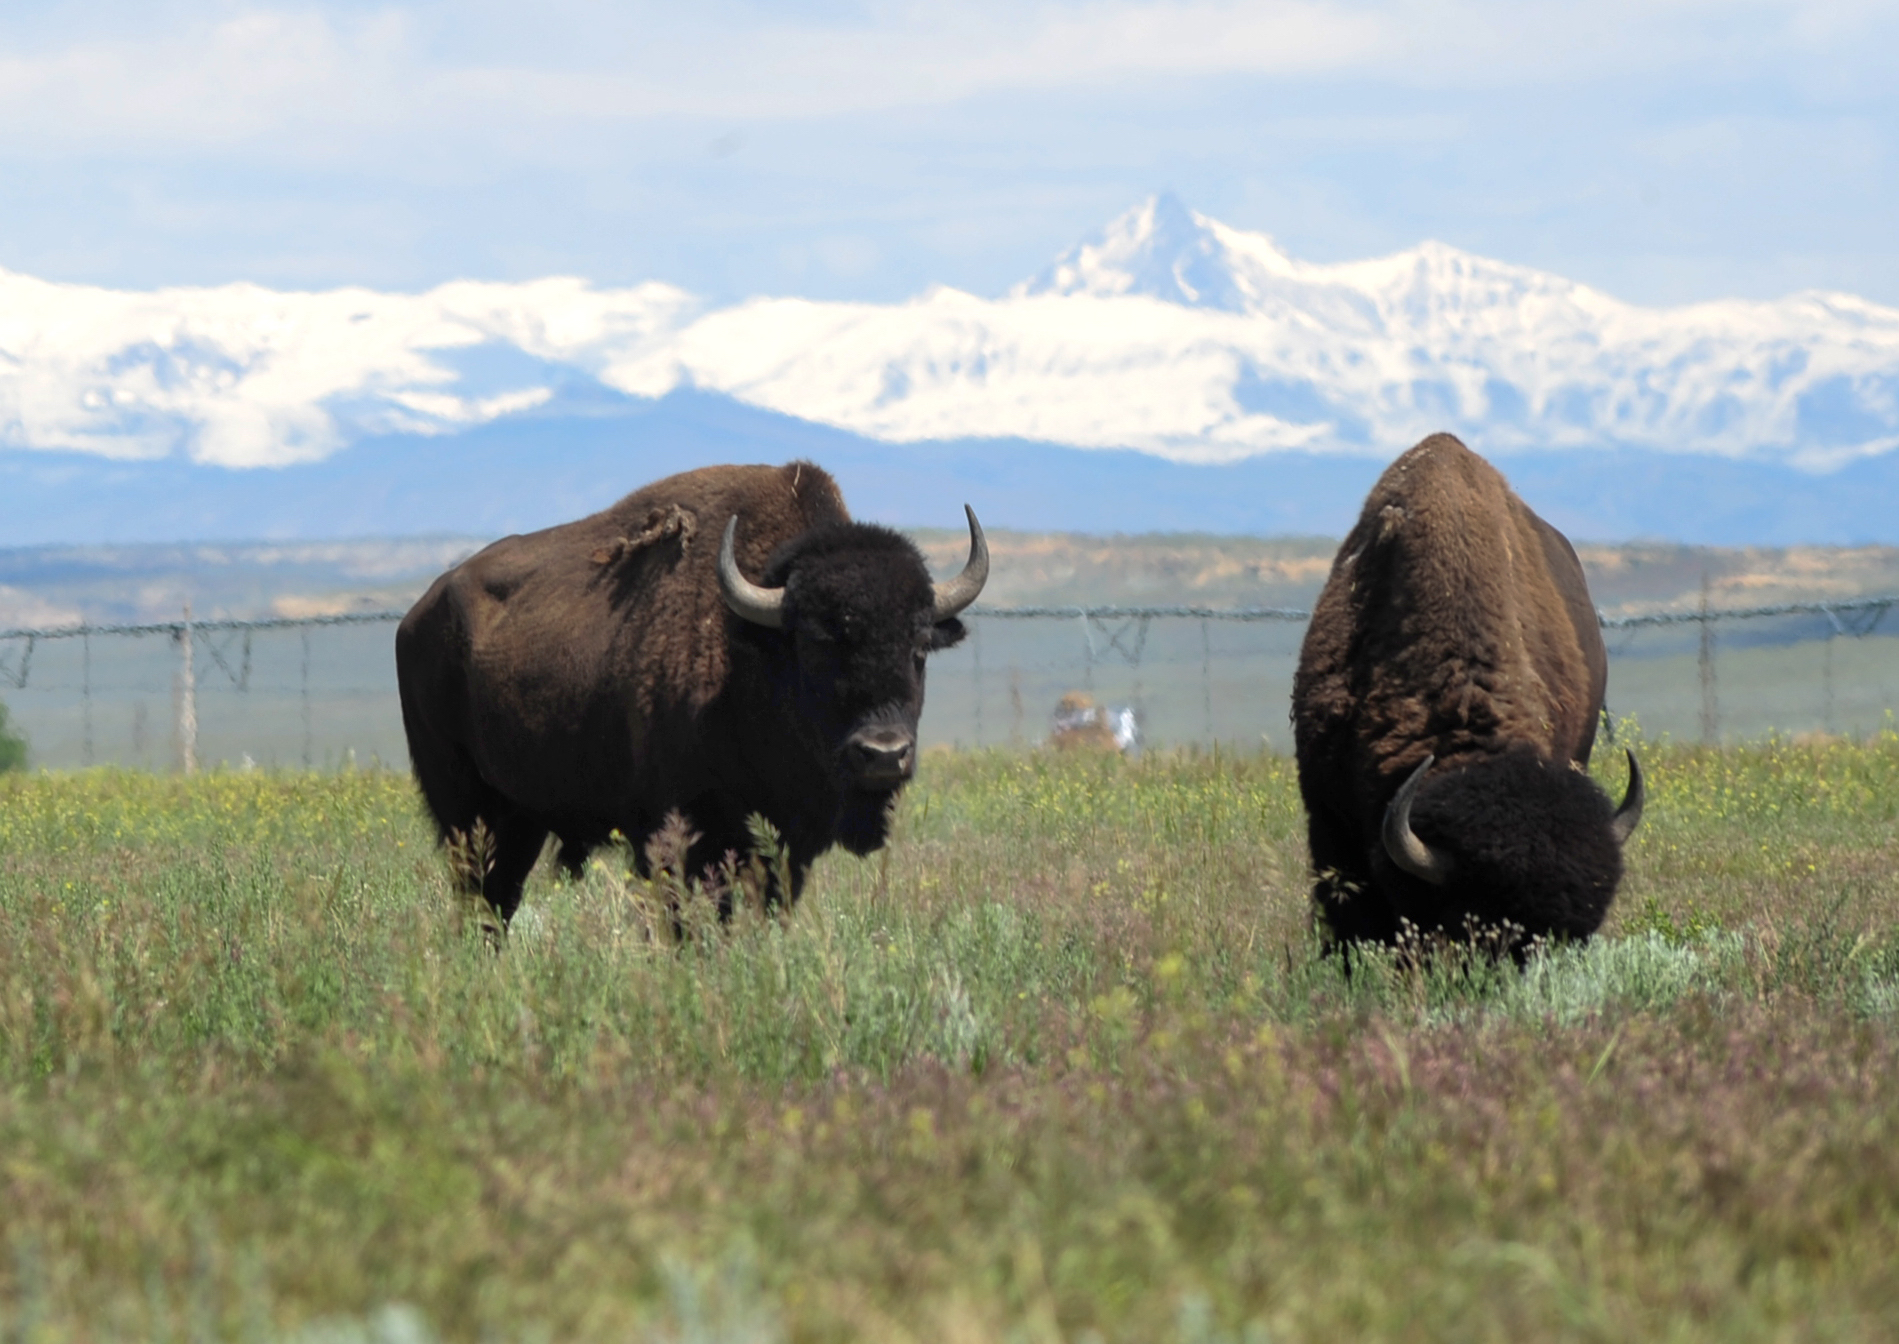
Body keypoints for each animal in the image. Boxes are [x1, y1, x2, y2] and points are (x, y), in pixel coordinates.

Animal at [396, 460, 986, 926]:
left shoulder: (783, 847)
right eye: (816, 643)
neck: (753, 649)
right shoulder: (677, 839)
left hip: (521, 817)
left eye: (919, 645)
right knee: (479, 894)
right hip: (464, 811)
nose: (883, 754)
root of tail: (415, 617)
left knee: (499, 898)